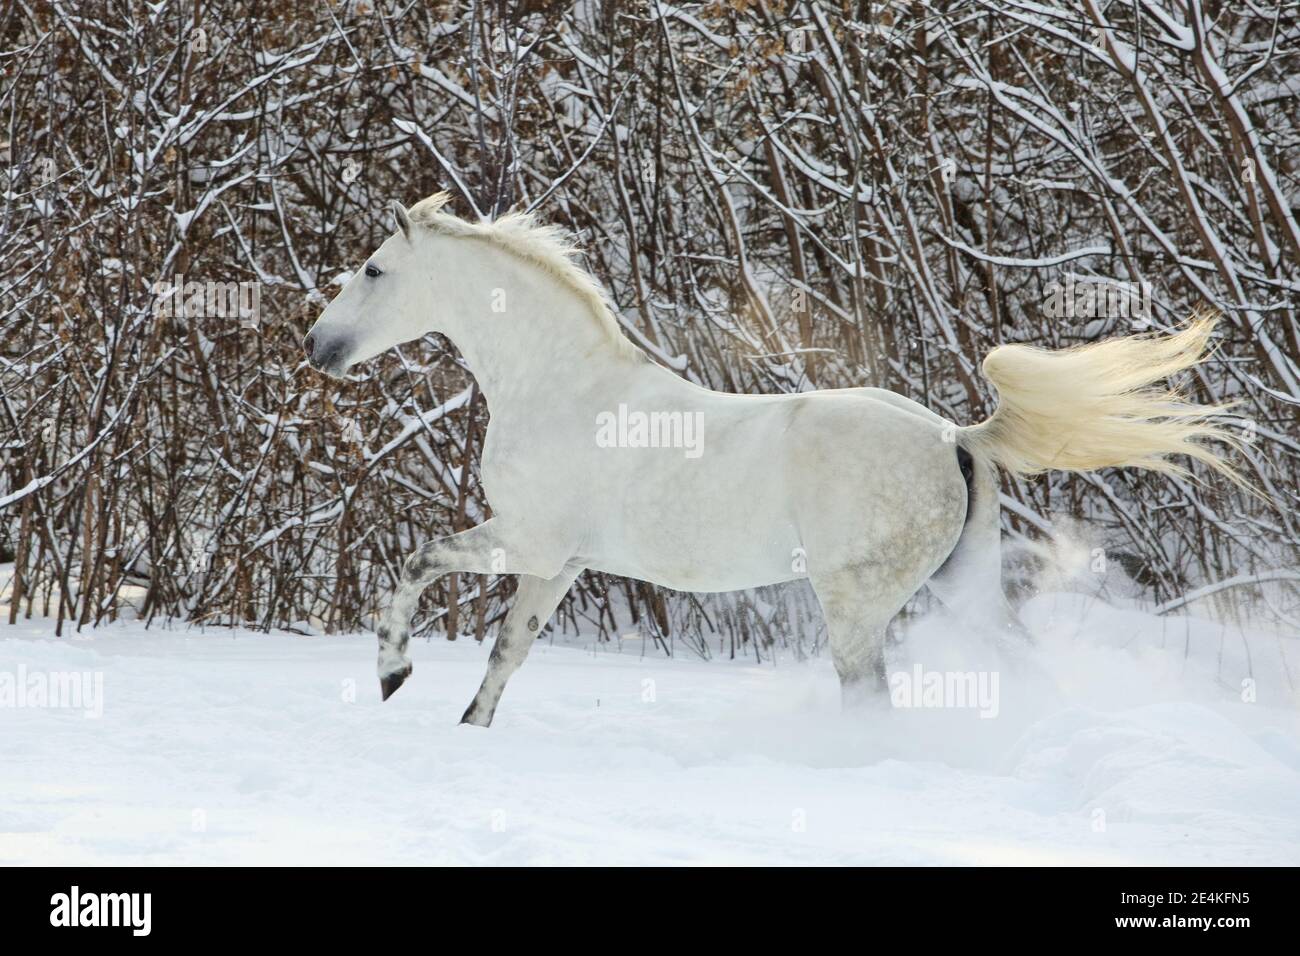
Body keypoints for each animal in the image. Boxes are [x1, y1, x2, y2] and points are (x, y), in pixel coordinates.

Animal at [303, 193, 1244, 727]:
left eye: (374, 269)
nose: (318, 346)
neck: (562, 386)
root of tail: (954, 439)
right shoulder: (559, 562)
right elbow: (509, 651)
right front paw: (470, 730)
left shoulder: (527, 538)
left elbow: (419, 562)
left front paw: (392, 674)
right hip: (960, 587)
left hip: (856, 601)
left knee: (869, 694)